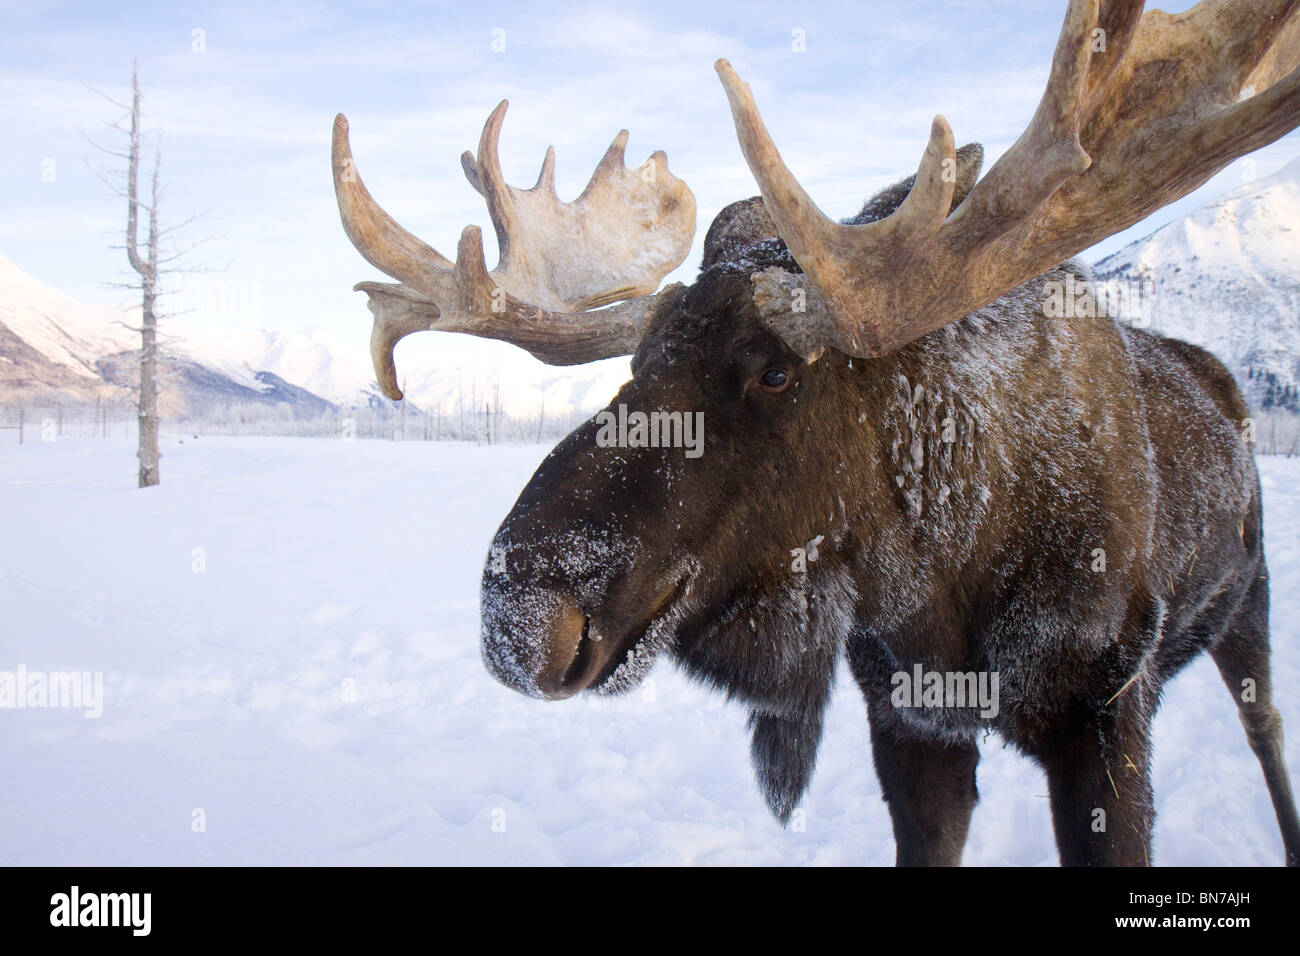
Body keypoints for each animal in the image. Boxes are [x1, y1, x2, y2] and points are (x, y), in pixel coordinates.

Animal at [332, 0, 1300, 865]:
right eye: (637, 362)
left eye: (774, 371)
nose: (518, 616)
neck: (951, 585)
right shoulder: (908, 721)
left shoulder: (1107, 718)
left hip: (1249, 606)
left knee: (1268, 737)